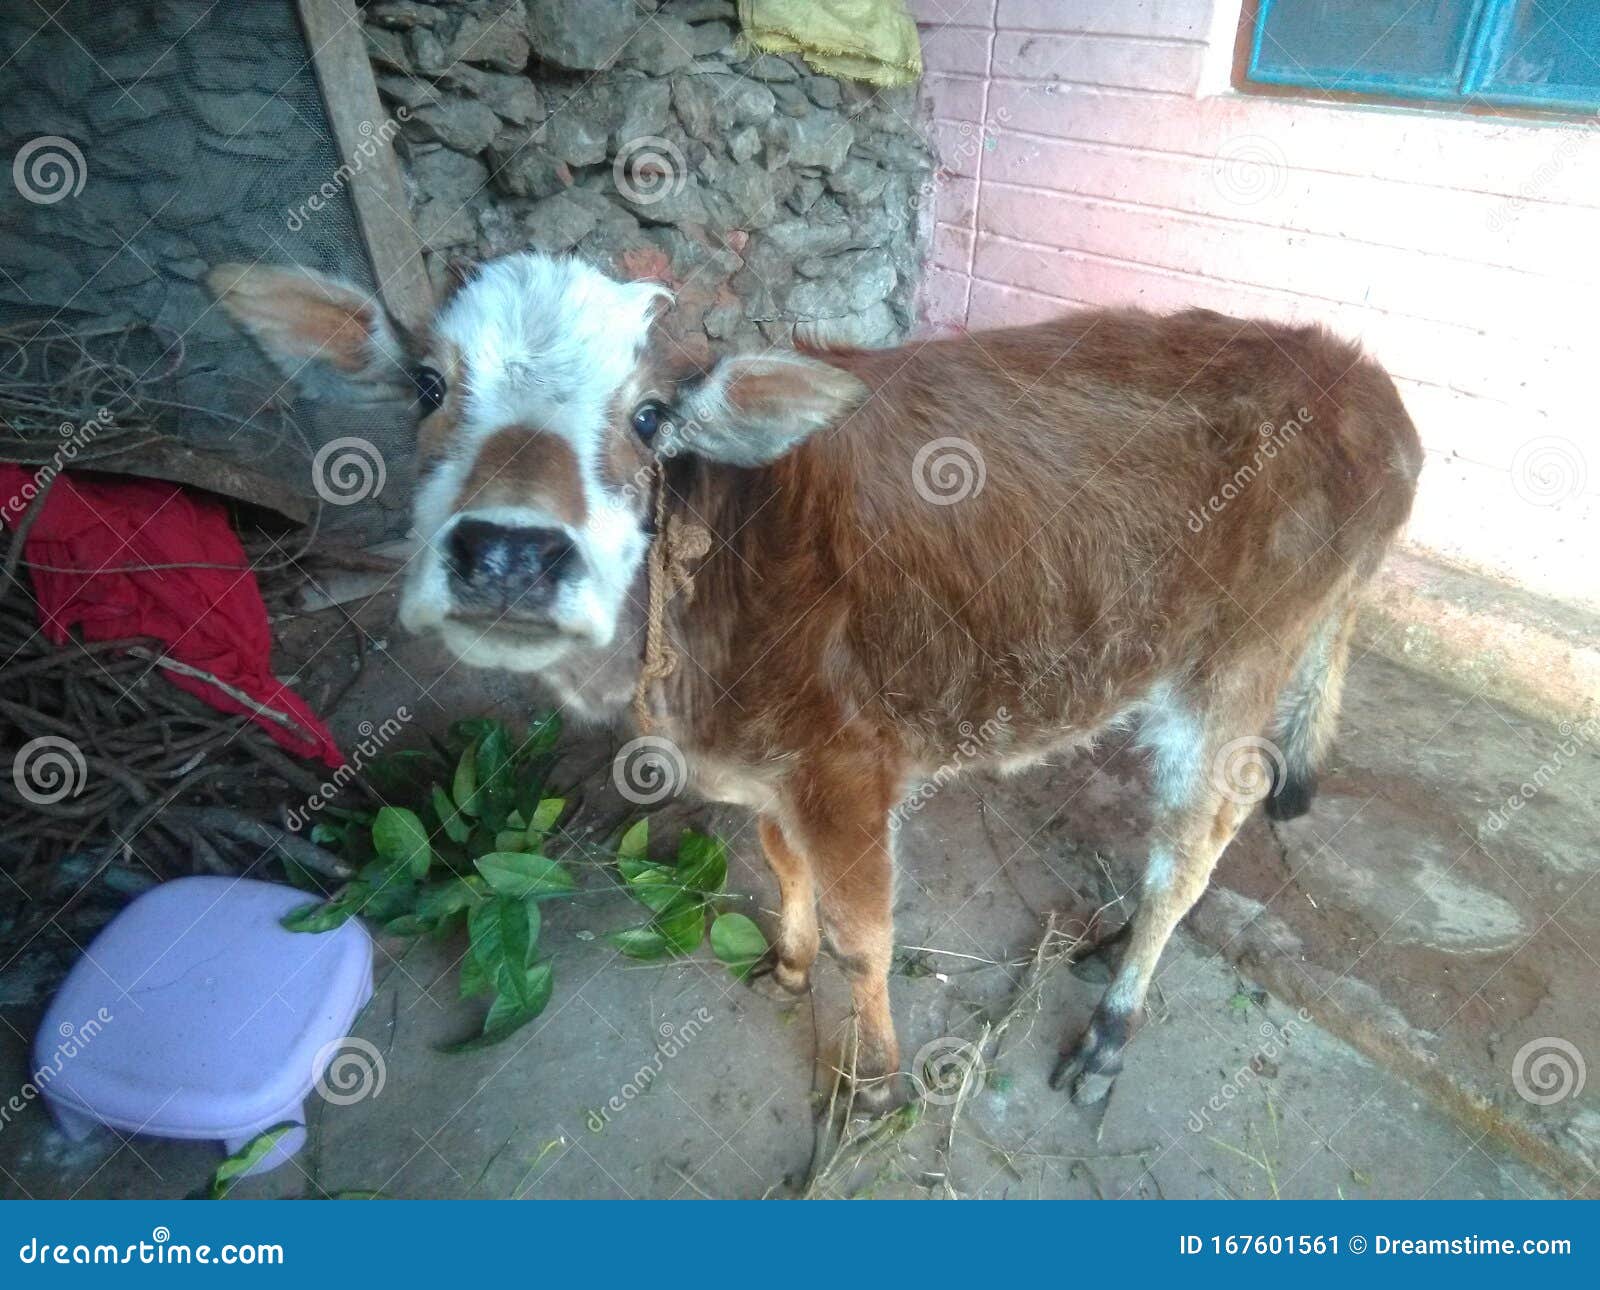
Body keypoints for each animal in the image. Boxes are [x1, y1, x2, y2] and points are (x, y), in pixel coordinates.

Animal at [211, 251, 1422, 1107]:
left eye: (648, 416)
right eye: (426, 385)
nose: (508, 553)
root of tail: (1360, 374)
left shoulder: (848, 771)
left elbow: (865, 934)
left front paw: (875, 1077)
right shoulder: (770, 771)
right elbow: (782, 869)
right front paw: (789, 965)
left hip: (1233, 669)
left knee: (1193, 850)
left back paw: (1112, 1029)